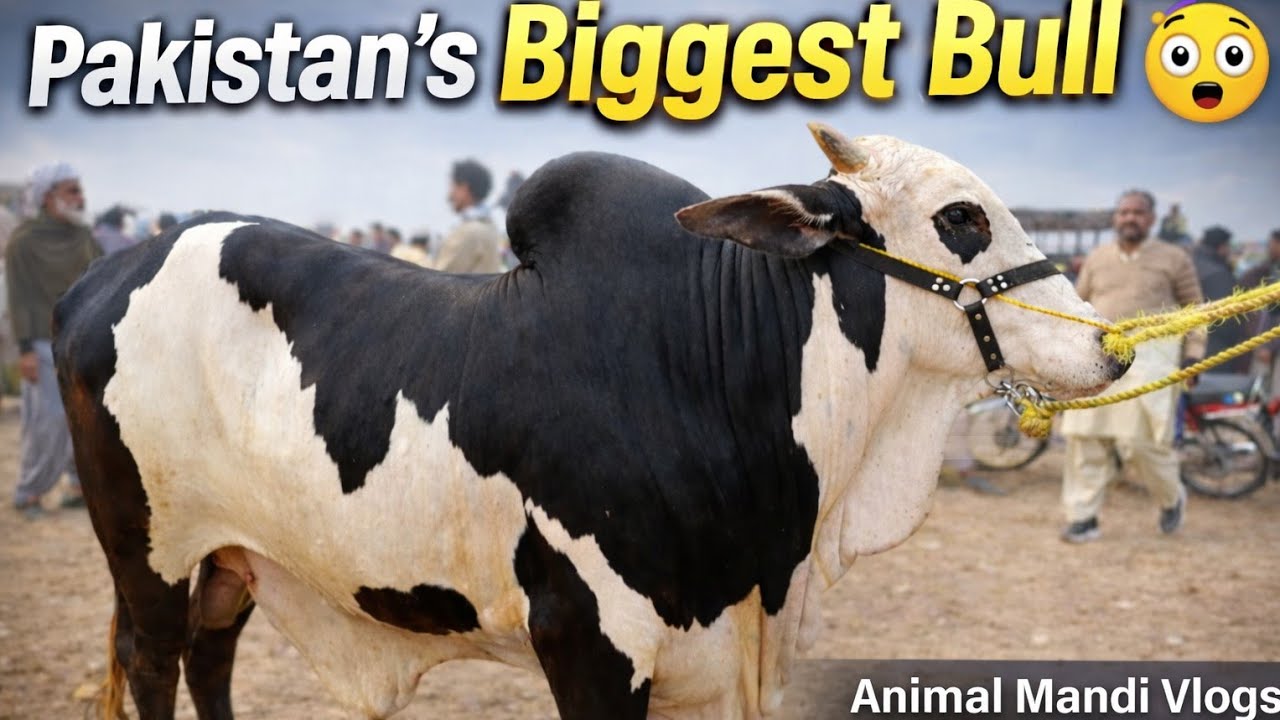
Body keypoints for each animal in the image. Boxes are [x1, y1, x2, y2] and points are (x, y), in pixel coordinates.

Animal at [54, 123, 1125, 720]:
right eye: (961, 218)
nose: (1113, 345)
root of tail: (99, 277)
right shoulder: (588, 643)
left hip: (234, 559)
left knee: (211, 659)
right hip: (147, 557)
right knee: (155, 664)